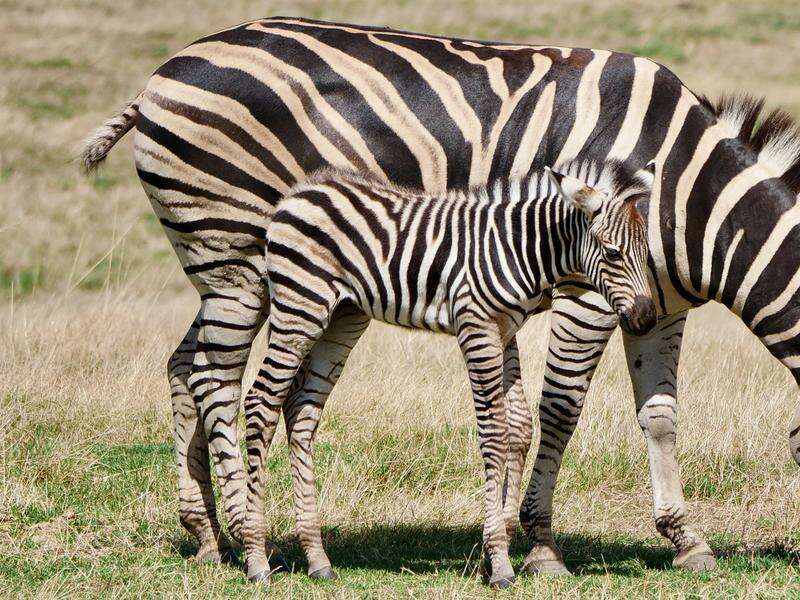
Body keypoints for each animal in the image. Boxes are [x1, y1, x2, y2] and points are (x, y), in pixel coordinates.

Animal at [243, 163, 657, 587]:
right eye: (612, 253)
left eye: (647, 252)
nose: (646, 319)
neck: (519, 249)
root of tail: (297, 193)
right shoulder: (477, 326)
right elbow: (495, 433)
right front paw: (500, 563)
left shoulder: (505, 331)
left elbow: (519, 428)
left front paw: (493, 553)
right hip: (300, 307)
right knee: (262, 401)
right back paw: (257, 559)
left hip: (342, 316)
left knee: (301, 410)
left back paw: (317, 557)